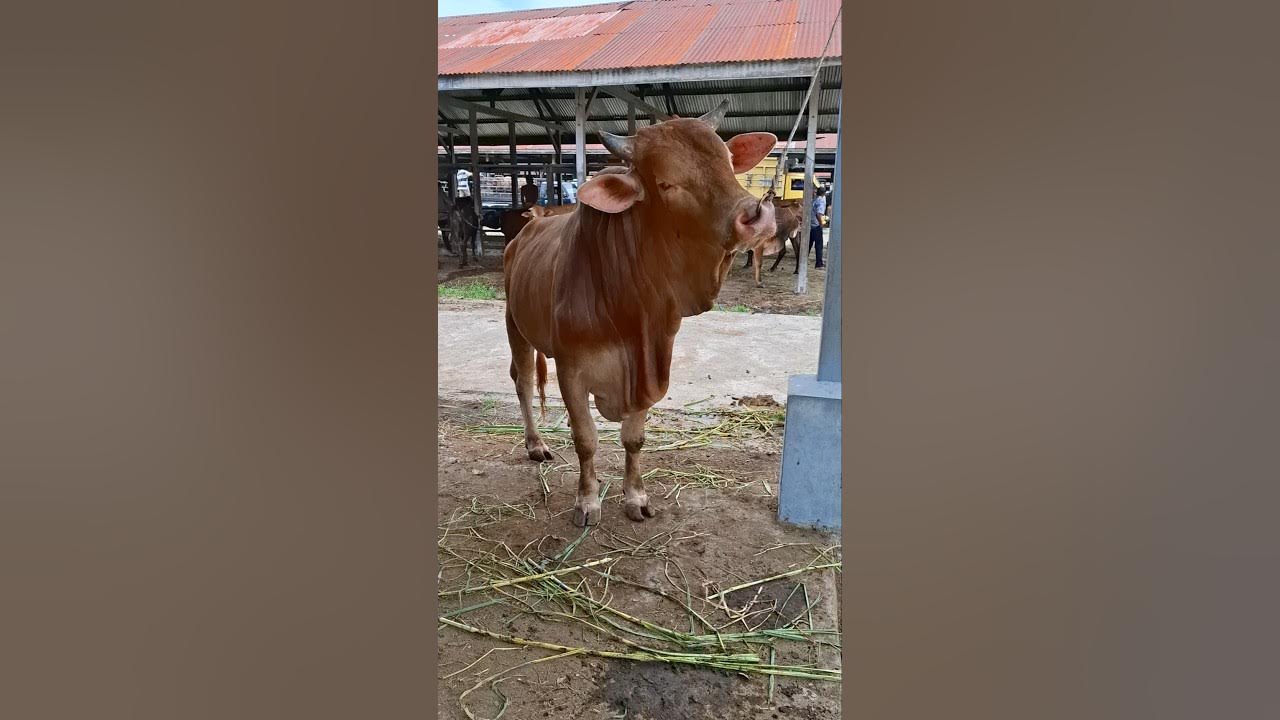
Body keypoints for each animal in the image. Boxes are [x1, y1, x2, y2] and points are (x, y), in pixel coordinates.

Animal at [502, 100, 777, 527]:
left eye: (729, 162)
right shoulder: (571, 370)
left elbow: (634, 439)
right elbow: (585, 439)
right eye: (665, 184)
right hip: (515, 325)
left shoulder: (651, 359)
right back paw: (535, 444)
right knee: (524, 381)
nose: (755, 216)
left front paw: (636, 497)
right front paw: (587, 501)